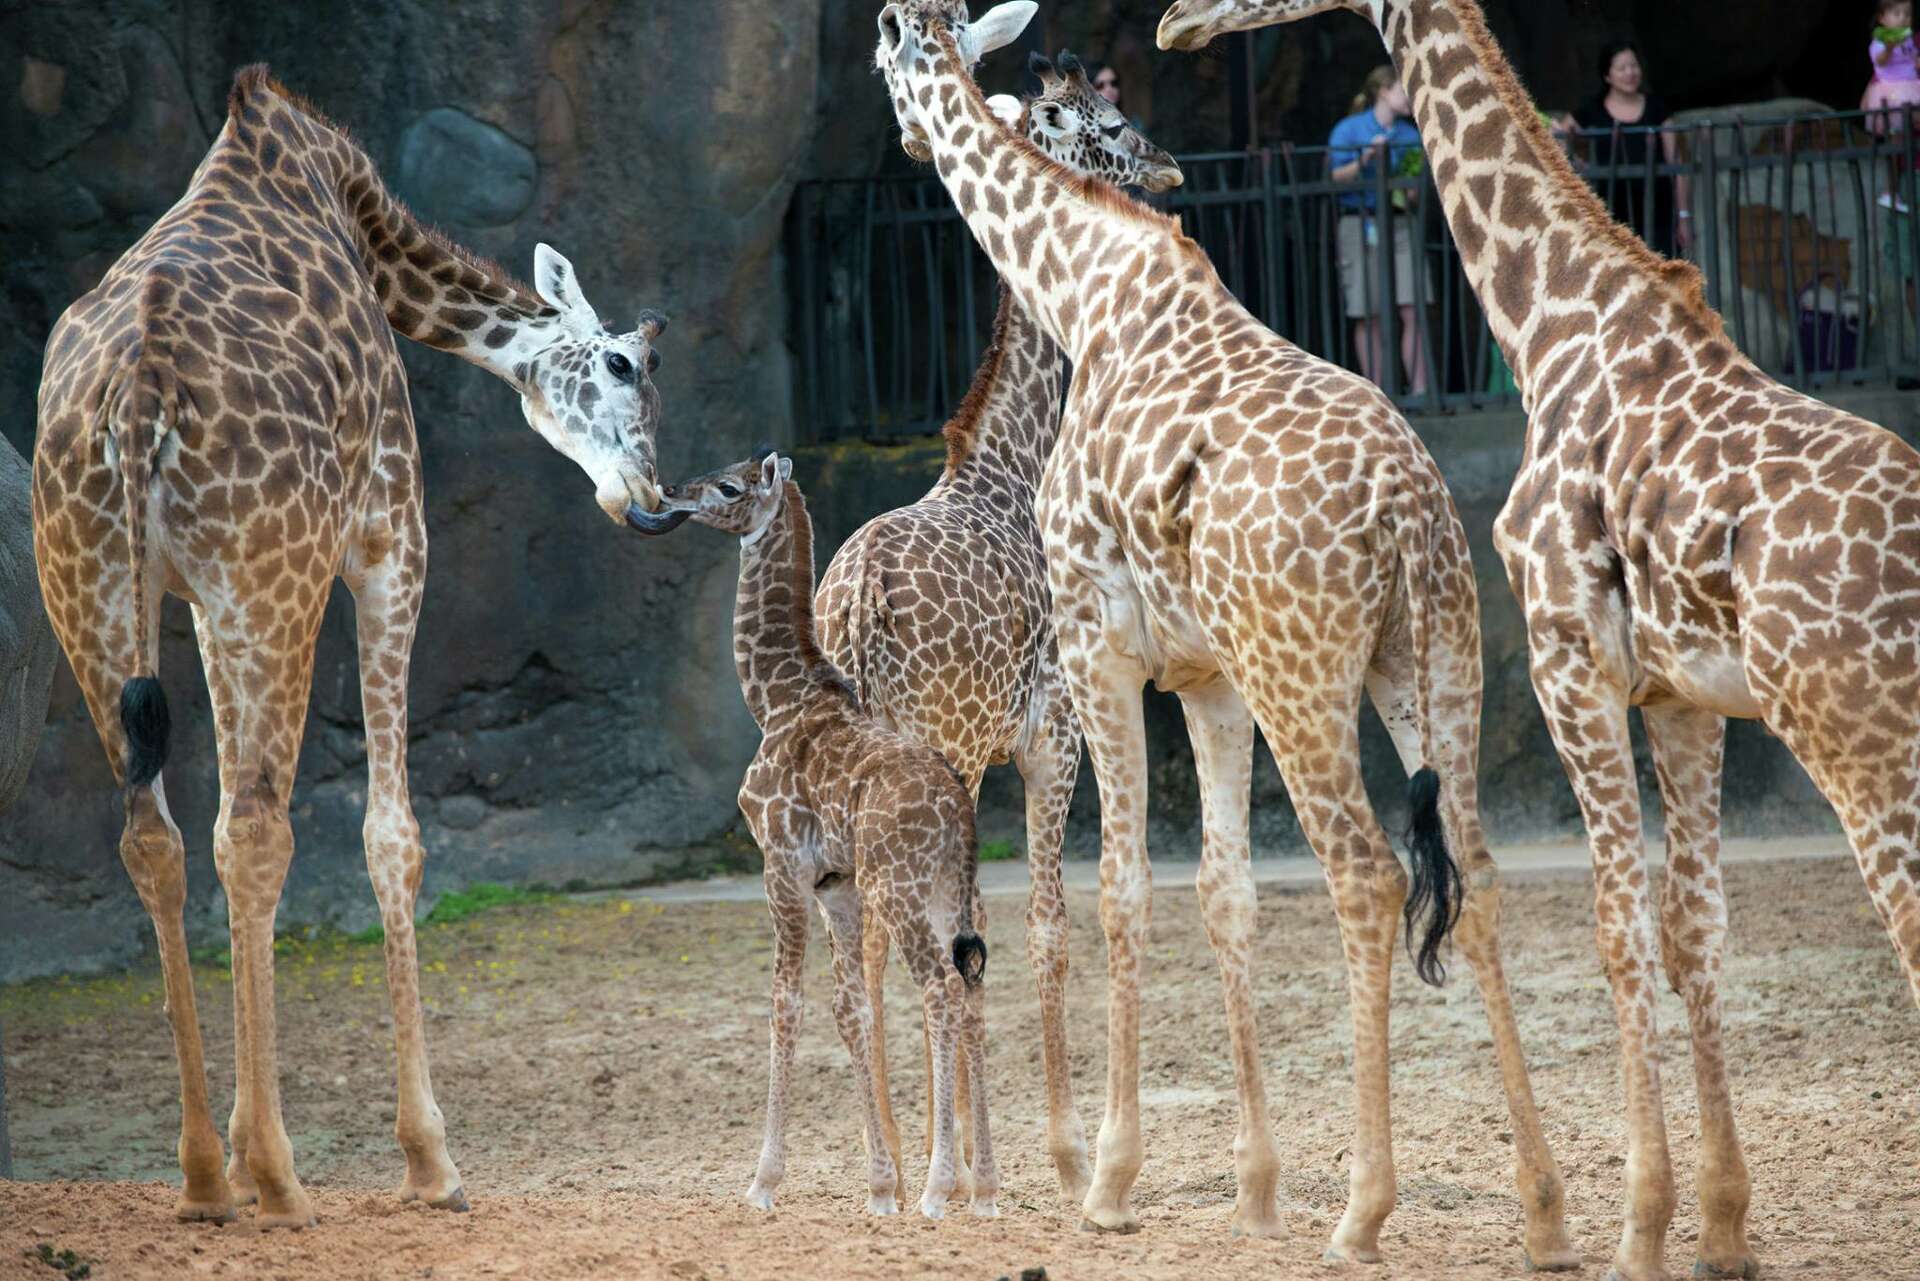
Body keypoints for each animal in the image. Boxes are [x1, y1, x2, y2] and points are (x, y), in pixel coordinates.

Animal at [31, 66, 673, 1228]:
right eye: (621, 361)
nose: (648, 497)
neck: (355, 210)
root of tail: (138, 392)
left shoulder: (205, 600)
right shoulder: (388, 535)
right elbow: (392, 834)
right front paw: (430, 1159)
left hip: (101, 588)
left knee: (157, 836)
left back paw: (206, 1175)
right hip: (269, 575)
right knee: (255, 828)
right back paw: (279, 1179)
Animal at [637, 450, 996, 1220]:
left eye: (729, 487)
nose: (671, 490)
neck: (776, 697)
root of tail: (958, 805)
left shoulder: (783, 865)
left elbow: (785, 1002)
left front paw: (764, 1182)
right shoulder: (838, 884)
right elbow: (851, 1007)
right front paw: (880, 1186)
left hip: (900, 885)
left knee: (940, 990)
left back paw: (938, 1190)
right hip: (943, 889)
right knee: (969, 980)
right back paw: (983, 1190)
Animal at [814, 50, 1183, 1205]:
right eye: (1108, 123)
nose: (1170, 162)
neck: (1008, 464)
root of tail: (852, 608)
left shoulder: (976, 763)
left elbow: (974, 934)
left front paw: (982, 1161)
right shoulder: (1045, 736)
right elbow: (1044, 927)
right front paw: (1052, 1159)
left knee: (857, 963)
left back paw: (887, 1174)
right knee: (899, 949)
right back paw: (922, 1176)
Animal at [875, 2, 1578, 1266]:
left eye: (890, 51)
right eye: (1098, 117)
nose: (905, 137)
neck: (1083, 284)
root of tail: (1407, 508)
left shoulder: (1099, 648)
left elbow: (1120, 889)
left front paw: (1109, 1182)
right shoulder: (1208, 677)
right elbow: (1226, 894)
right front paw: (1253, 1189)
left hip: (1306, 679)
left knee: (1368, 873)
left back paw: (1363, 1211)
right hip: (1431, 658)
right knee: (1479, 870)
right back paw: (1545, 1212)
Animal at [1157, 2, 1920, 1278]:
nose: (1171, 25)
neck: (1552, 328)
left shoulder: (1572, 660)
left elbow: (1618, 931)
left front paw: (1638, 1230)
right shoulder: (1683, 698)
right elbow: (1691, 930)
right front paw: (1722, 1228)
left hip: (1855, 736)